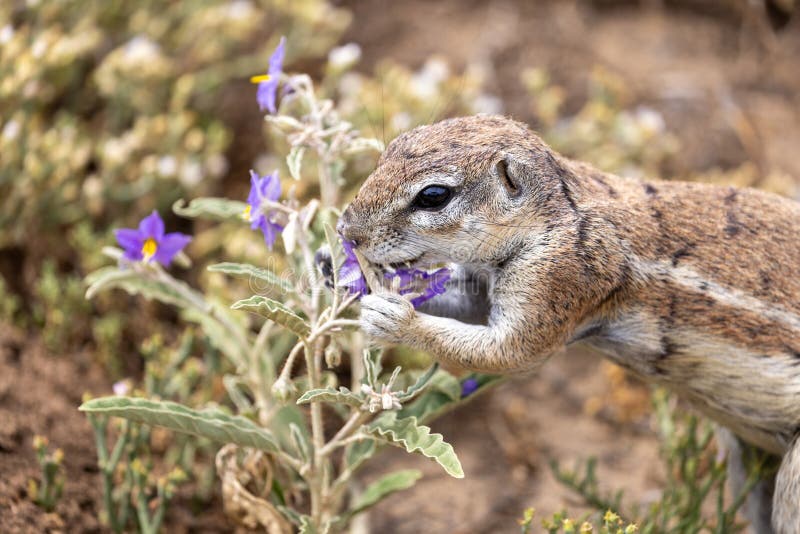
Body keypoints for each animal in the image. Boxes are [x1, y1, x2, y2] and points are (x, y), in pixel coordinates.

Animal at [327, 114, 800, 533]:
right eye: (392, 146)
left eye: (433, 195)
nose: (346, 229)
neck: (557, 212)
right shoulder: (488, 284)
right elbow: (468, 306)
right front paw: (332, 270)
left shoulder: (558, 274)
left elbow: (510, 352)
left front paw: (393, 316)